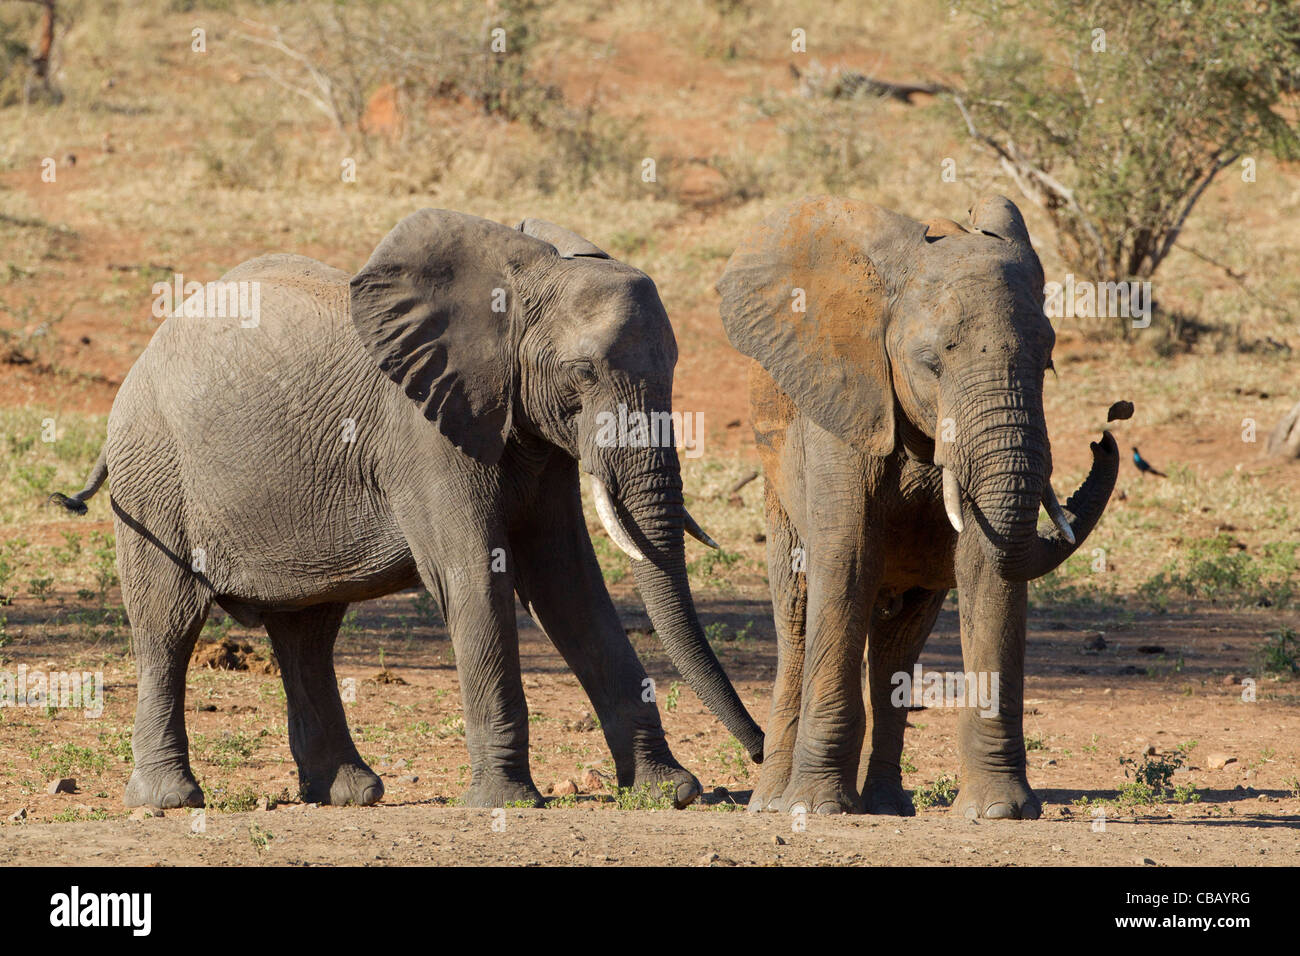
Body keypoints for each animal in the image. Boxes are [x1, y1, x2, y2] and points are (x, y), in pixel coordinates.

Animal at [52, 209, 764, 811]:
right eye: (583, 373)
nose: (759, 754)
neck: (518, 278)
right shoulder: (424, 435)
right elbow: (475, 576)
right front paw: (506, 804)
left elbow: (568, 584)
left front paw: (672, 791)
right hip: (154, 475)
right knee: (168, 626)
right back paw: (171, 801)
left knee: (306, 633)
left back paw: (349, 793)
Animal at [717, 194, 1119, 819]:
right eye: (931, 362)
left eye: (1048, 361)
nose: (1109, 428)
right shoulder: (844, 405)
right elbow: (847, 560)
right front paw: (819, 808)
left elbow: (986, 564)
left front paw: (1000, 812)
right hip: (775, 469)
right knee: (798, 612)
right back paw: (774, 804)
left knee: (898, 639)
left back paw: (885, 805)